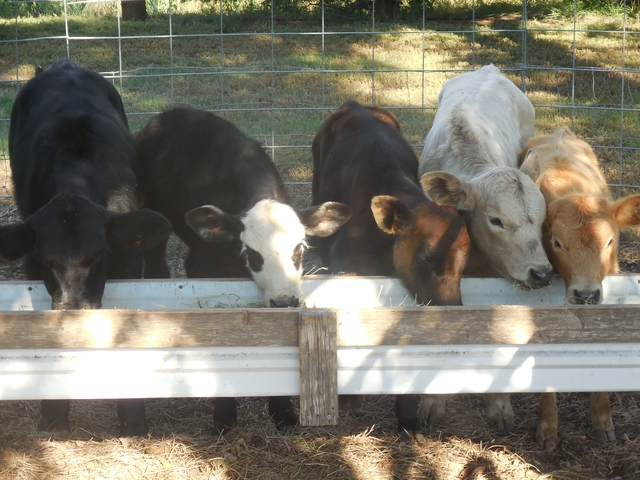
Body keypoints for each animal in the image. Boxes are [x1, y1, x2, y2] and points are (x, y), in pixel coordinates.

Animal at [0, 59, 172, 436]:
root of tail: (64, 65)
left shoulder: (127, 262)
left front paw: (133, 419)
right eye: (46, 261)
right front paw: (53, 416)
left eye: (98, 257)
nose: (74, 307)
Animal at [132, 107, 352, 434]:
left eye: (299, 249)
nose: (284, 302)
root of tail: (169, 113)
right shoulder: (210, 269)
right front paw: (224, 414)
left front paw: (282, 410)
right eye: (252, 254)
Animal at [311, 99, 471, 439]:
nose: (452, 308)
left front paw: (407, 419)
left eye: (465, 261)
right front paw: (347, 401)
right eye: (426, 258)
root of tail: (354, 105)